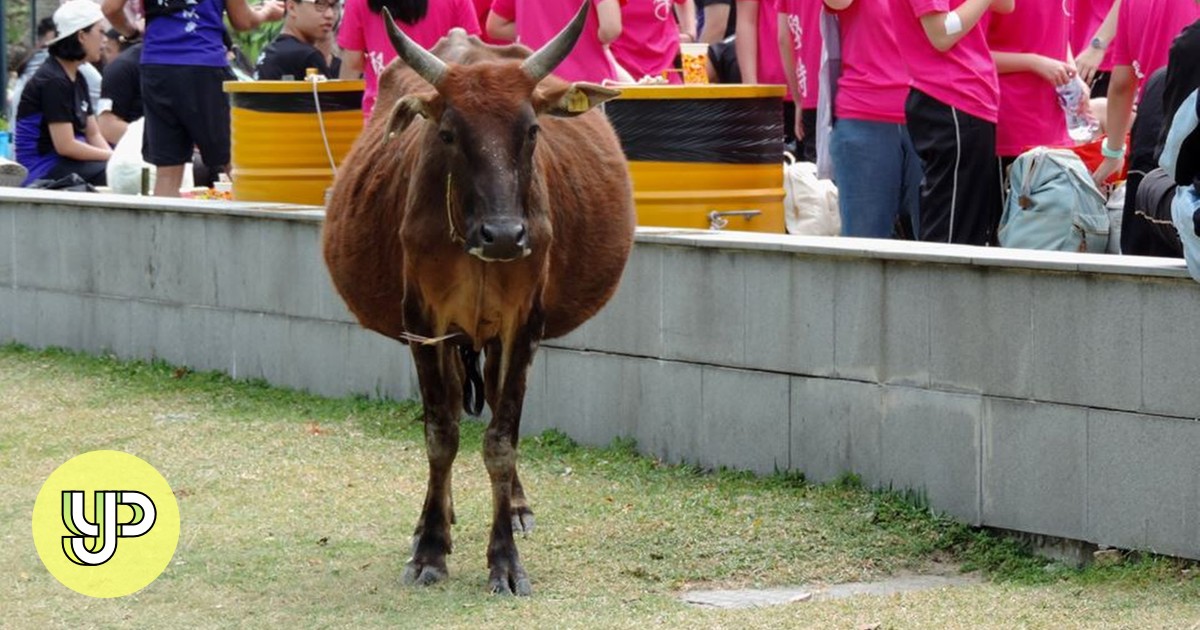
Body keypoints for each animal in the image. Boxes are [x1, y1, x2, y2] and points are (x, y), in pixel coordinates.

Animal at [321, 1, 636, 596]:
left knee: (489, 402)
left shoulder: (523, 324)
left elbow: (501, 439)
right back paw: (438, 515)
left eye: (532, 129)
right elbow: (440, 434)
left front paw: (505, 558)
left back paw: (513, 505)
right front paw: (430, 547)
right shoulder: (423, 321)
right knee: (448, 409)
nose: (506, 235)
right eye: (447, 132)